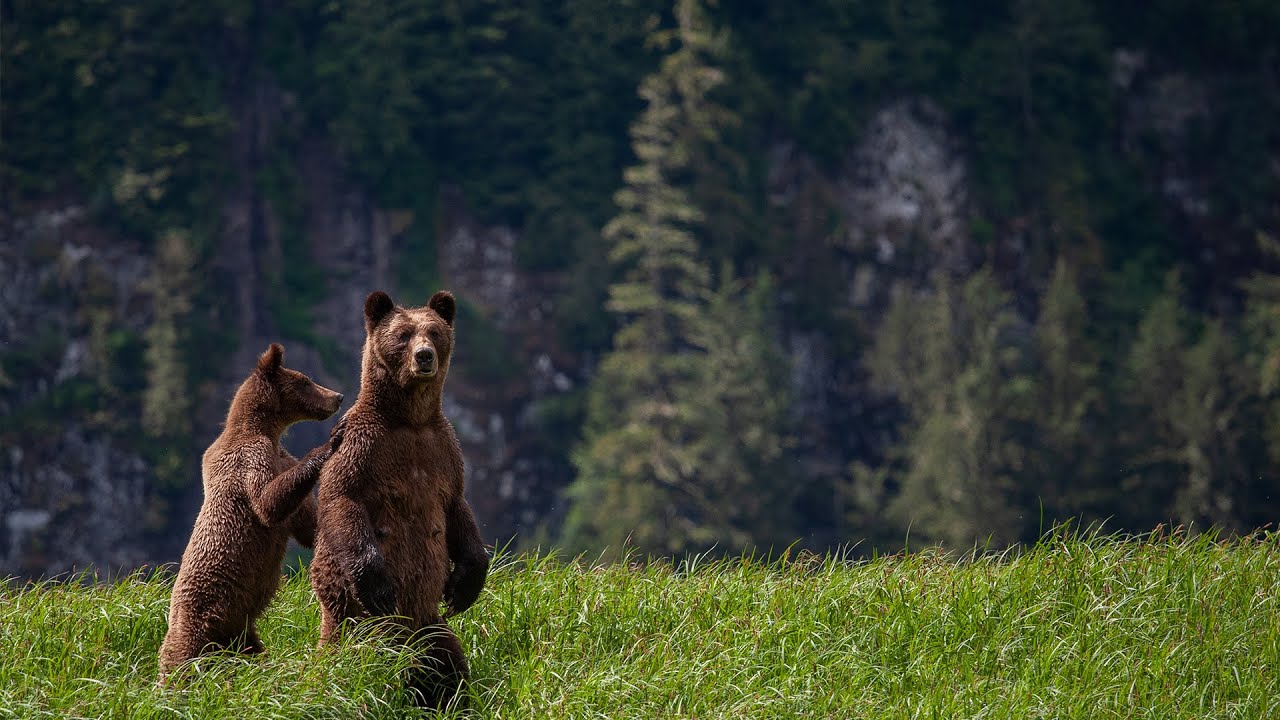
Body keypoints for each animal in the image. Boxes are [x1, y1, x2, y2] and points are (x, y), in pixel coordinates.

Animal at [158, 343, 344, 680]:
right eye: (305, 380)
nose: (337, 396)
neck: (265, 431)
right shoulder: (248, 461)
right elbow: (266, 503)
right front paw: (329, 443)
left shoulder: (280, 460)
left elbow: (305, 522)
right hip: (199, 619)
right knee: (179, 662)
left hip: (240, 631)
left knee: (251, 652)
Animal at [308, 290, 489, 709]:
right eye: (404, 335)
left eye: (434, 332)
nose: (424, 356)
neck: (409, 420)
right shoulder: (363, 447)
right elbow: (342, 500)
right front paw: (378, 584)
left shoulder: (443, 452)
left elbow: (458, 510)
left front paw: (464, 587)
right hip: (359, 623)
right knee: (358, 664)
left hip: (429, 625)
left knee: (447, 658)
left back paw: (451, 697)